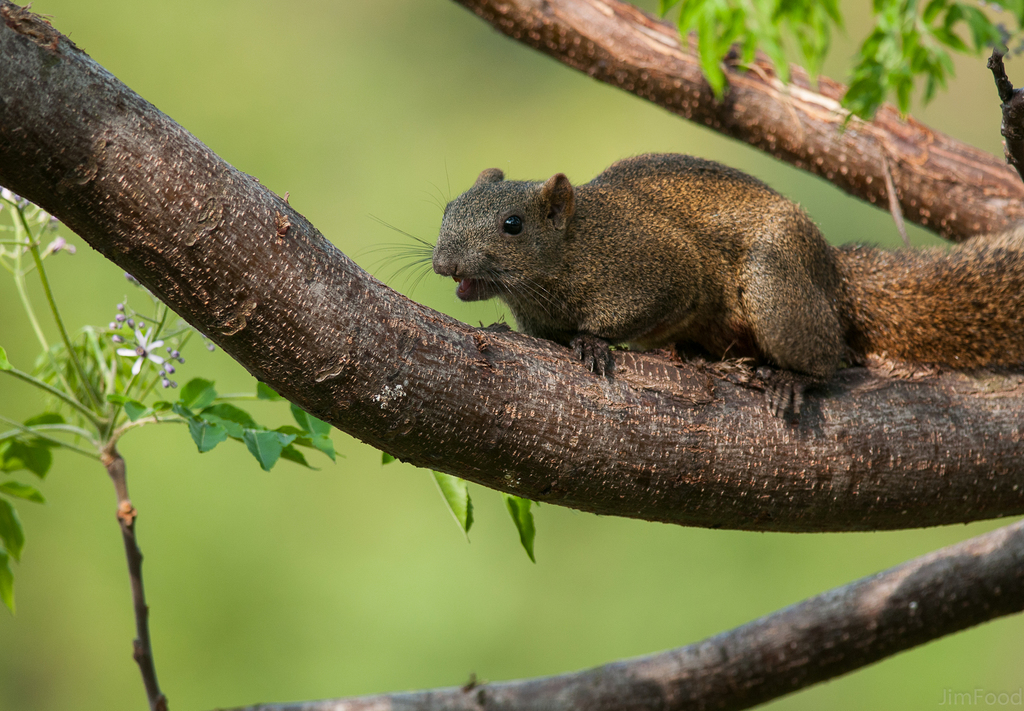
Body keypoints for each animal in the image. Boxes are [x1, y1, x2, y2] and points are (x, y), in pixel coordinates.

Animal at [431, 153, 1024, 415]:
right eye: (447, 208)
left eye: (513, 225)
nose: (441, 263)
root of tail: (833, 275)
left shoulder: (663, 268)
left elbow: (633, 310)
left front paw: (594, 342)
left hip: (776, 284)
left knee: (828, 356)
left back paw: (794, 379)